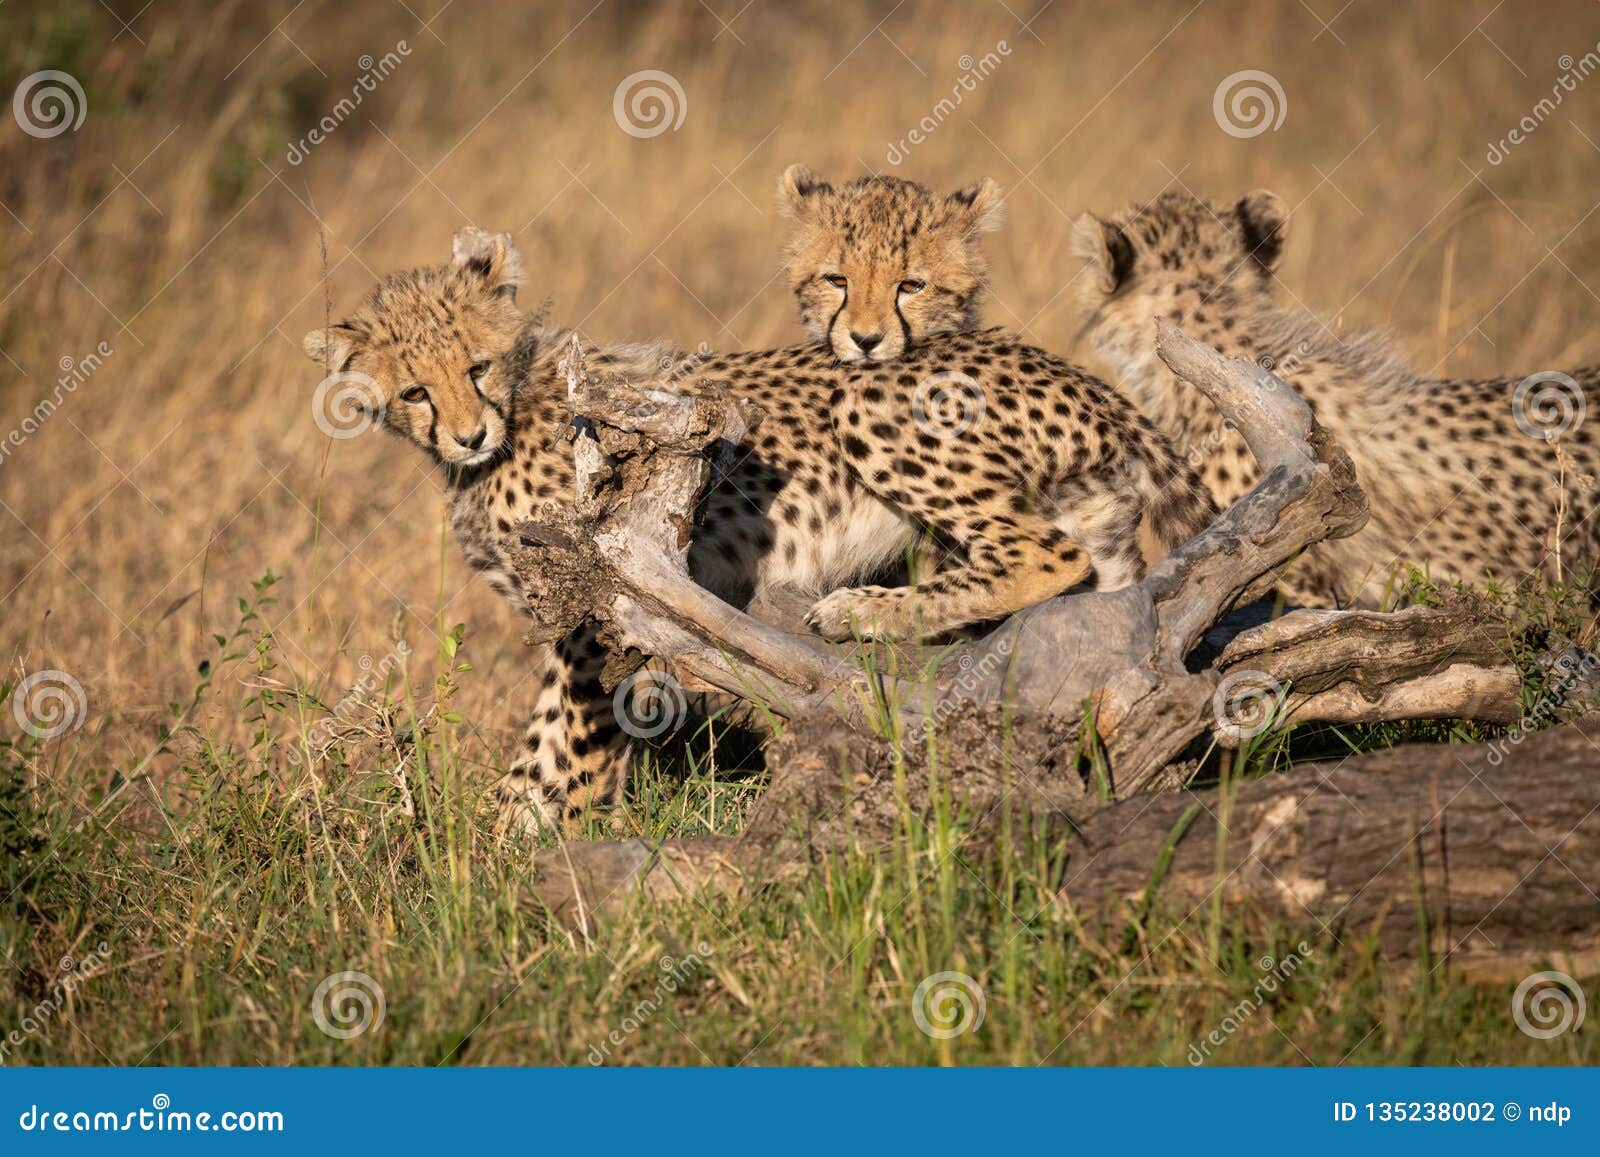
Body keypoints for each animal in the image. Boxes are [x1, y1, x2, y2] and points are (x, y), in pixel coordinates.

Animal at [303, 227, 1216, 834]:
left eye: (477, 367)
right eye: (416, 391)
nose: (467, 436)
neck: (519, 410)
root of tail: (1073, 372)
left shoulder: (602, 603)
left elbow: (566, 745)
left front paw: (529, 842)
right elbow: (544, 740)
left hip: (876, 406)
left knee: (1040, 553)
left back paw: (863, 612)